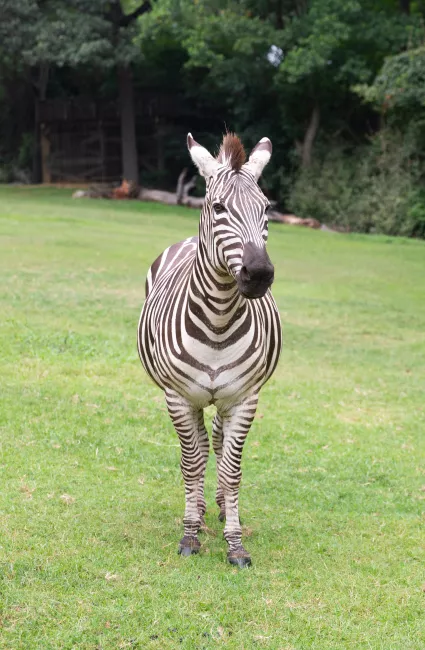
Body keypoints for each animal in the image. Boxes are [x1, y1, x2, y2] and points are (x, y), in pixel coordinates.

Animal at [138, 132, 282, 567]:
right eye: (219, 208)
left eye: (266, 208)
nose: (259, 275)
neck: (218, 320)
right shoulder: (178, 397)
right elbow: (190, 464)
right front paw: (189, 535)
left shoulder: (245, 399)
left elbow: (232, 470)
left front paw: (235, 544)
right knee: (201, 448)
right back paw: (199, 513)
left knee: (215, 441)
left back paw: (216, 507)